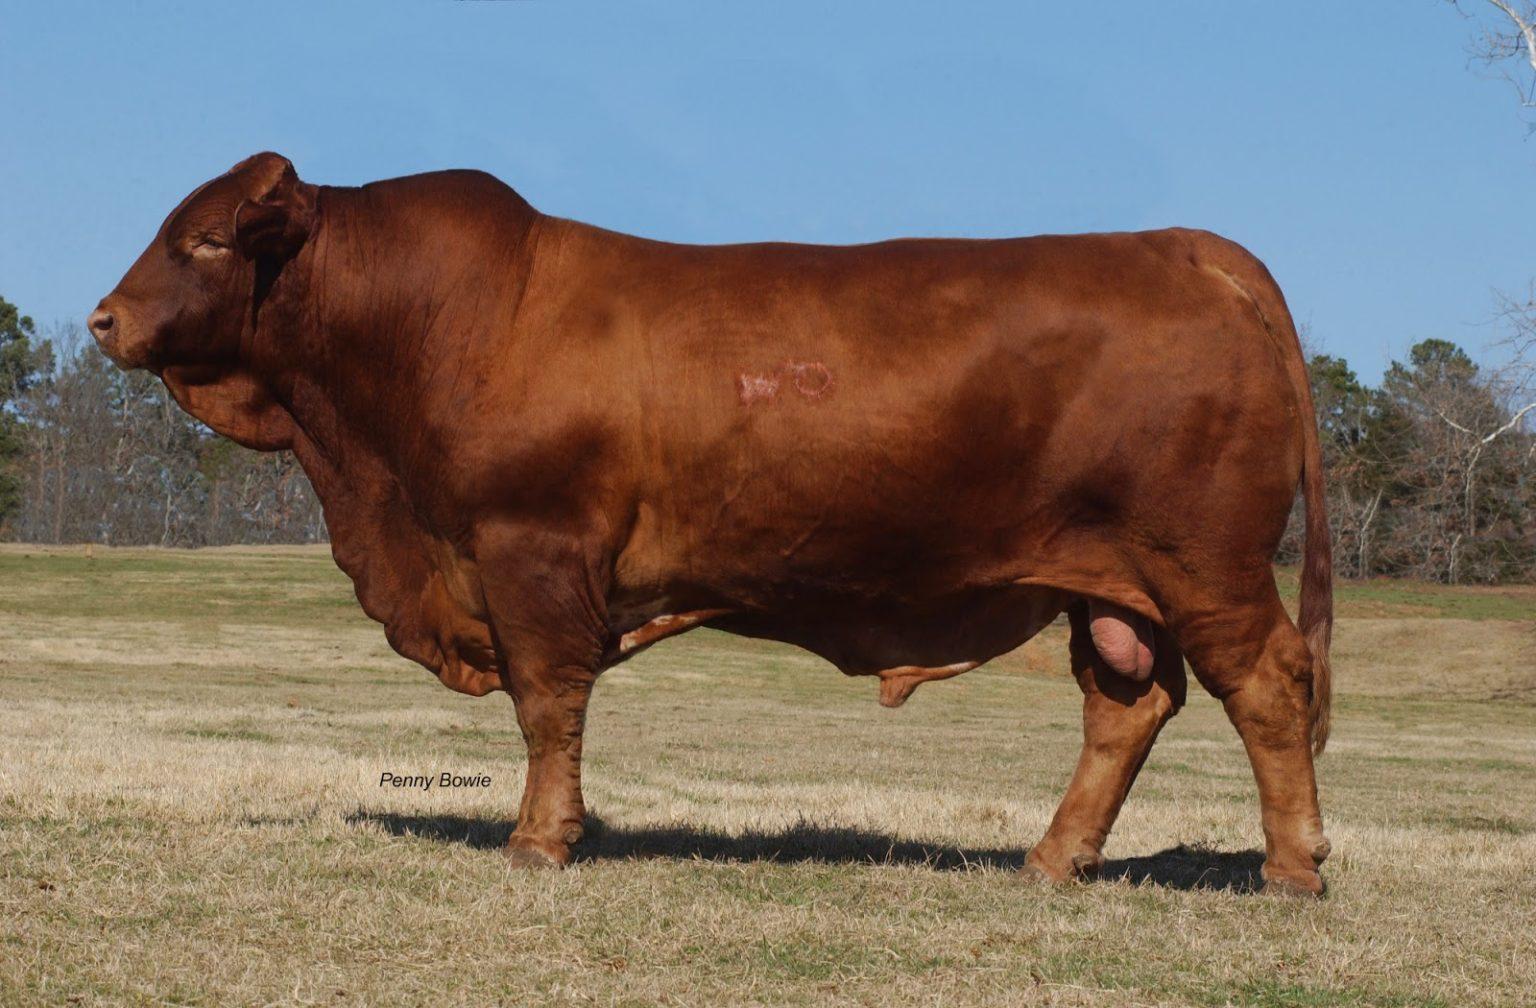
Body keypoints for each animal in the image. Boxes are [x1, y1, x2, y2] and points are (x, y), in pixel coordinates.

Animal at [89, 153, 1333, 895]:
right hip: (1114, 589)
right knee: (1127, 708)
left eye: (205, 240)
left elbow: (548, 706)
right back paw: (1051, 860)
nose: (102, 320)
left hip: (1209, 564)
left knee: (1269, 690)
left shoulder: (531, 551)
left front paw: (540, 842)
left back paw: (1294, 869)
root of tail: (1184, 246)